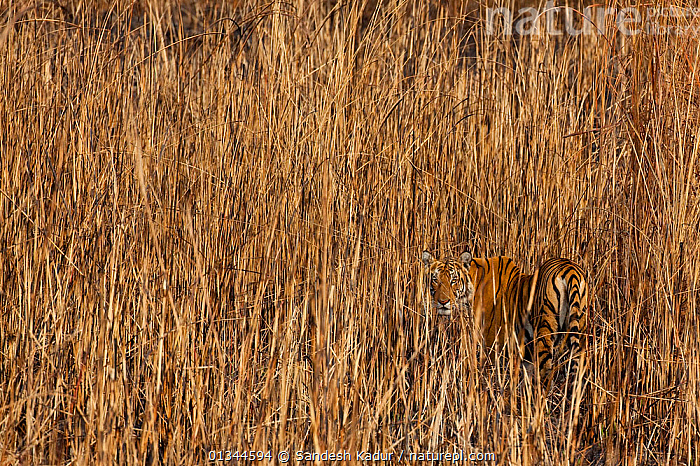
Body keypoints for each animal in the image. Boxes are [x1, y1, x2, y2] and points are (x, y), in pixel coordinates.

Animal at [421, 251, 588, 387]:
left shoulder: (493, 343)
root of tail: (569, 268)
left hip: (545, 333)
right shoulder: (525, 353)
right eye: (435, 279)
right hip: (579, 333)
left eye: (453, 280)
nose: (443, 302)